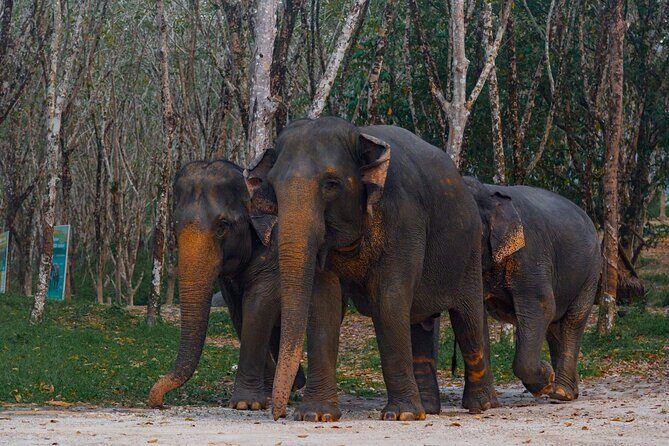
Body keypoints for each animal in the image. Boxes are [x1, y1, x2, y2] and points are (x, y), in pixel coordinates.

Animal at [148, 159, 306, 410]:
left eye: (222, 225)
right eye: (175, 225)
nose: (160, 402)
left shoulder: (276, 253)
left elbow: (257, 307)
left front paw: (245, 404)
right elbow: (238, 312)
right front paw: (264, 398)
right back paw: (293, 387)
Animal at [246, 117, 499, 421]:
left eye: (331, 184)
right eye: (272, 186)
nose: (278, 414)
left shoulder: (404, 220)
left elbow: (390, 300)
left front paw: (401, 416)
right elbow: (323, 304)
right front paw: (316, 415)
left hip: (469, 250)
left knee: (468, 319)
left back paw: (481, 405)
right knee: (420, 322)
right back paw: (428, 408)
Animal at [463, 176, 601, 401]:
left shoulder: (530, 253)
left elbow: (541, 306)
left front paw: (545, 379)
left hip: (590, 270)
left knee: (573, 318)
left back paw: (561, 392)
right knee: (554, 324)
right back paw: (565, 390)